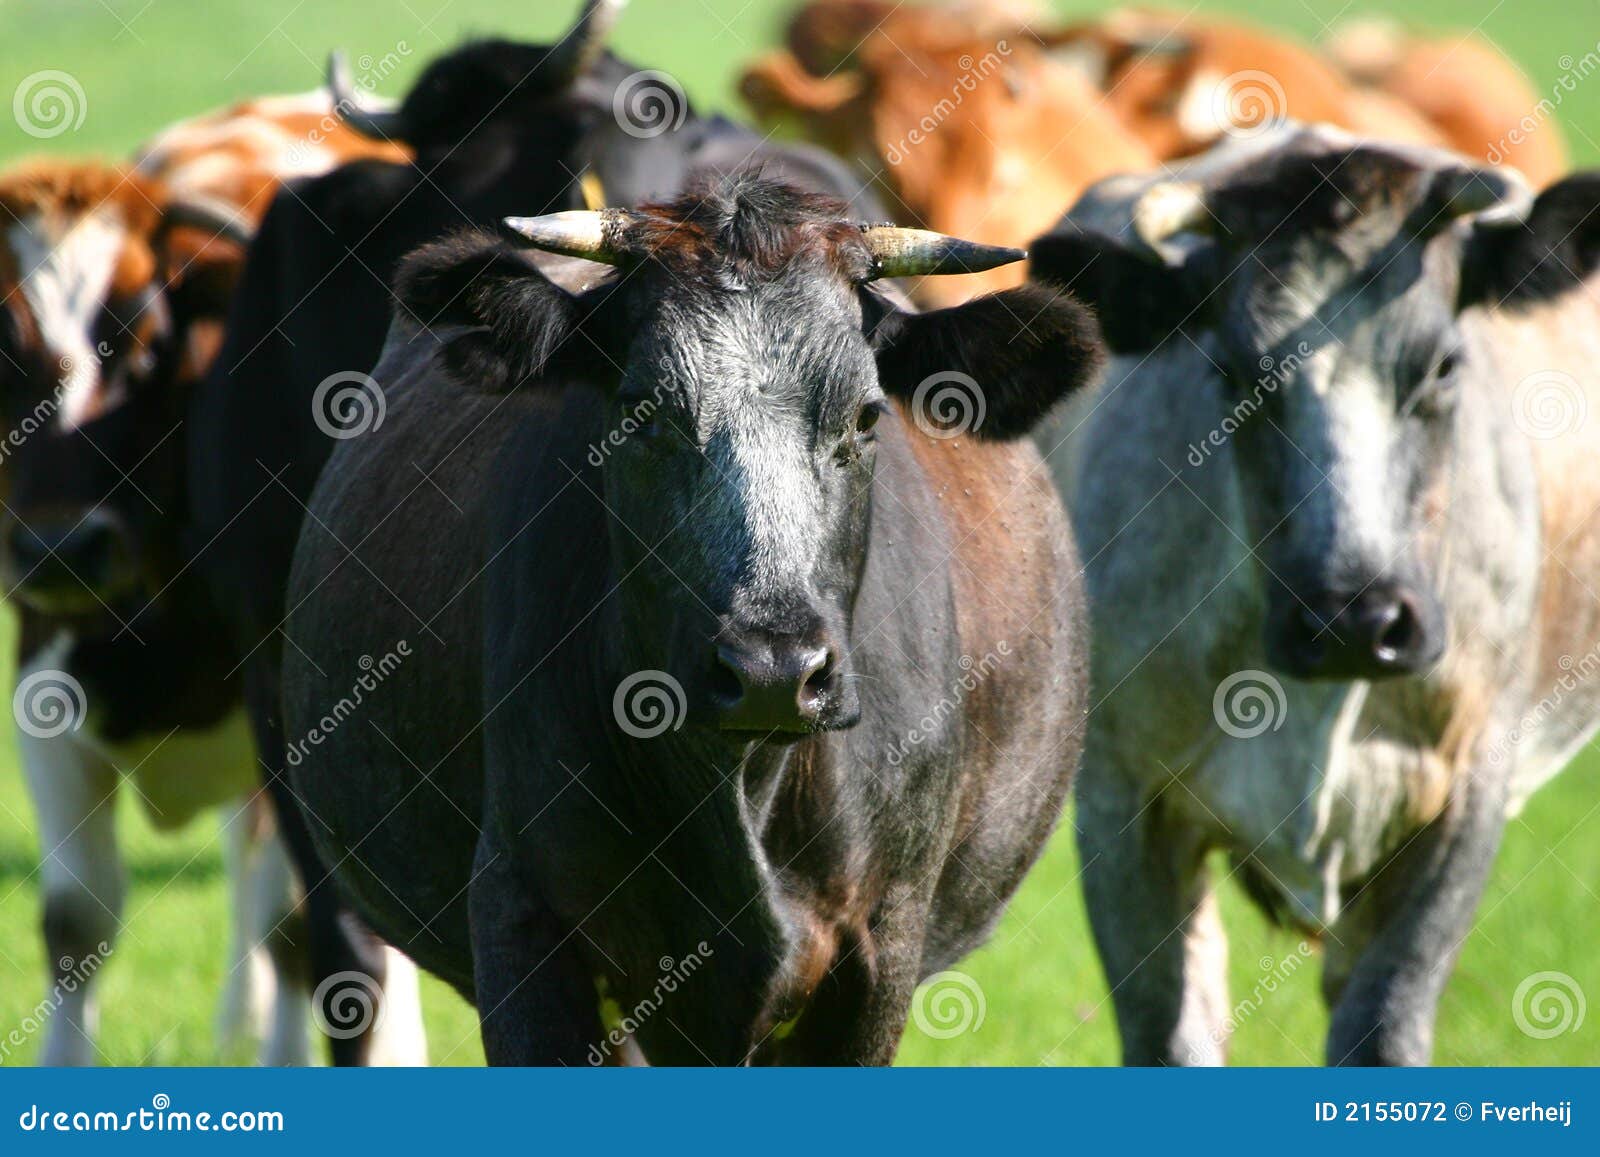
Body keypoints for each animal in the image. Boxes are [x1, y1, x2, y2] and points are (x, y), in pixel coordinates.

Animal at [1029, 123, 1600, 1065]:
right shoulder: (1119, 800)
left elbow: (1382, 1025)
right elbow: (1170, 1032)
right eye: (1231, 372)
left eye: (1442, 366)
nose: (1353, 620)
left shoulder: (1466, 795)